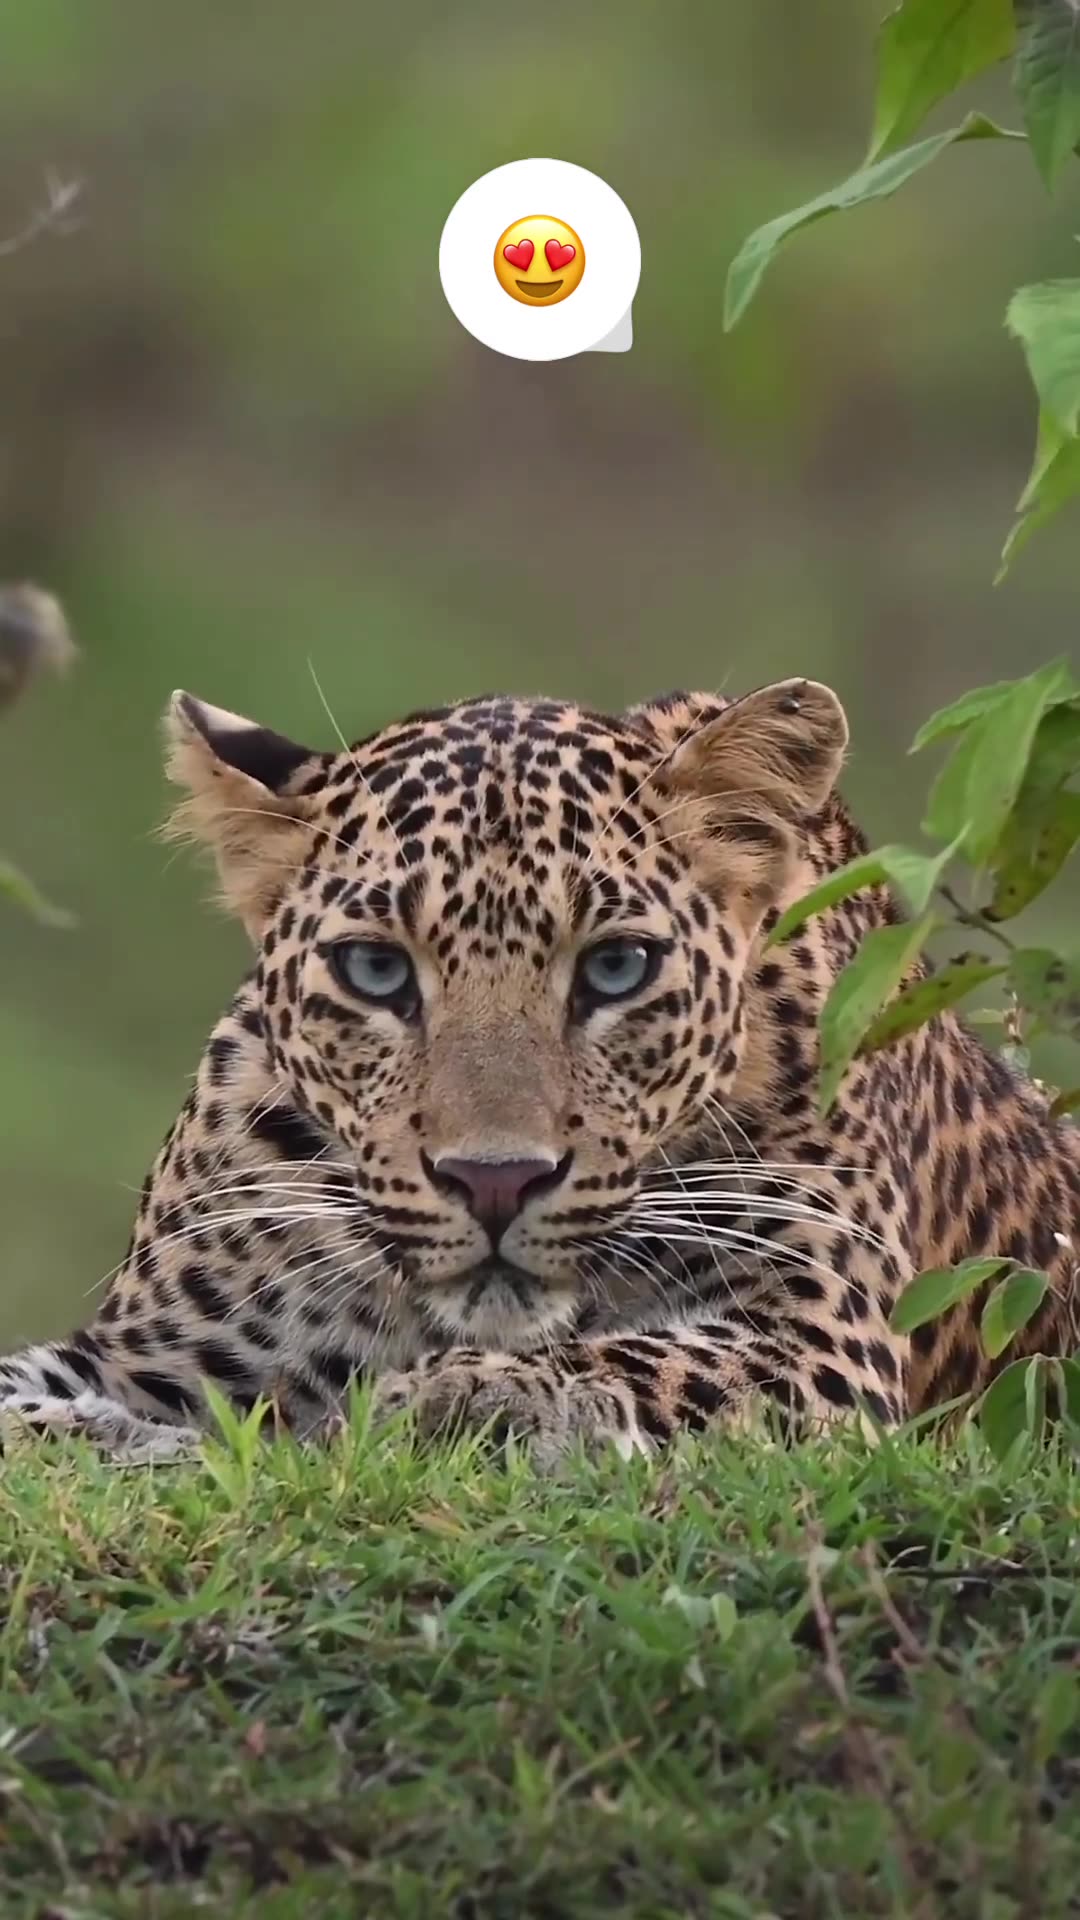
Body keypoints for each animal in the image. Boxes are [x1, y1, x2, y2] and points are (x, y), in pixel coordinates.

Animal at [2, 675, 1078, 1468]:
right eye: (376, 969)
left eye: (616, 966)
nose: (495, 1182)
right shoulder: (153, 1353)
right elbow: (21, 1387)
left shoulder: (819, 1333)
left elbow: (648, 1360)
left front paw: (467, 1394)